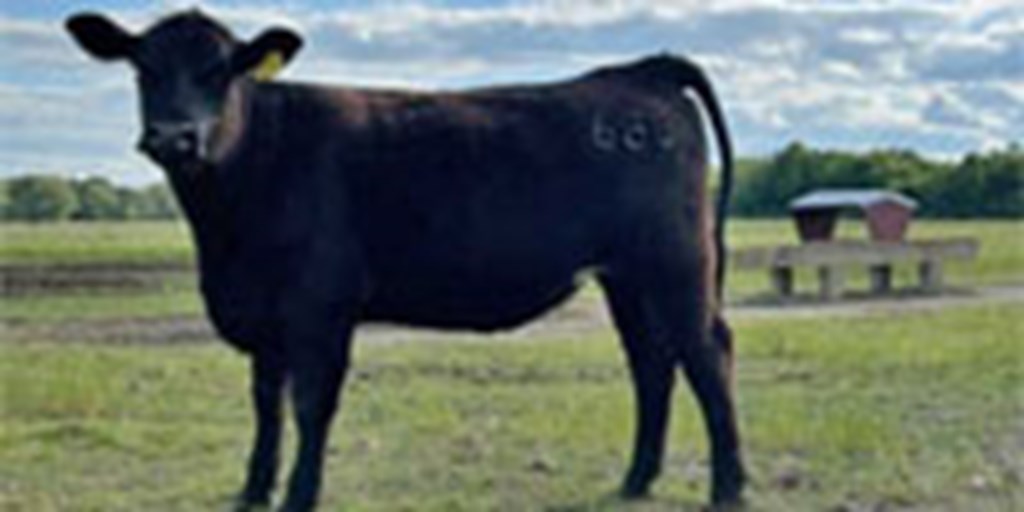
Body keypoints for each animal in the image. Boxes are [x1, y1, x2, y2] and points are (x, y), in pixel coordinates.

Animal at [66, 9, 745, 511]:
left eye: (220, 71)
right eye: (142, 70)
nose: (173, 137)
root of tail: (641, 70)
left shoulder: (320, 306)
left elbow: (310, 404)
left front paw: (299, 497)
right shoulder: (264, 316)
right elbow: (265, 403)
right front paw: (253, 492)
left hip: (676, 264)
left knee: (706, 355)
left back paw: (729, 488)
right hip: (626, 277)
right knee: (652, 364)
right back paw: (636, 482)